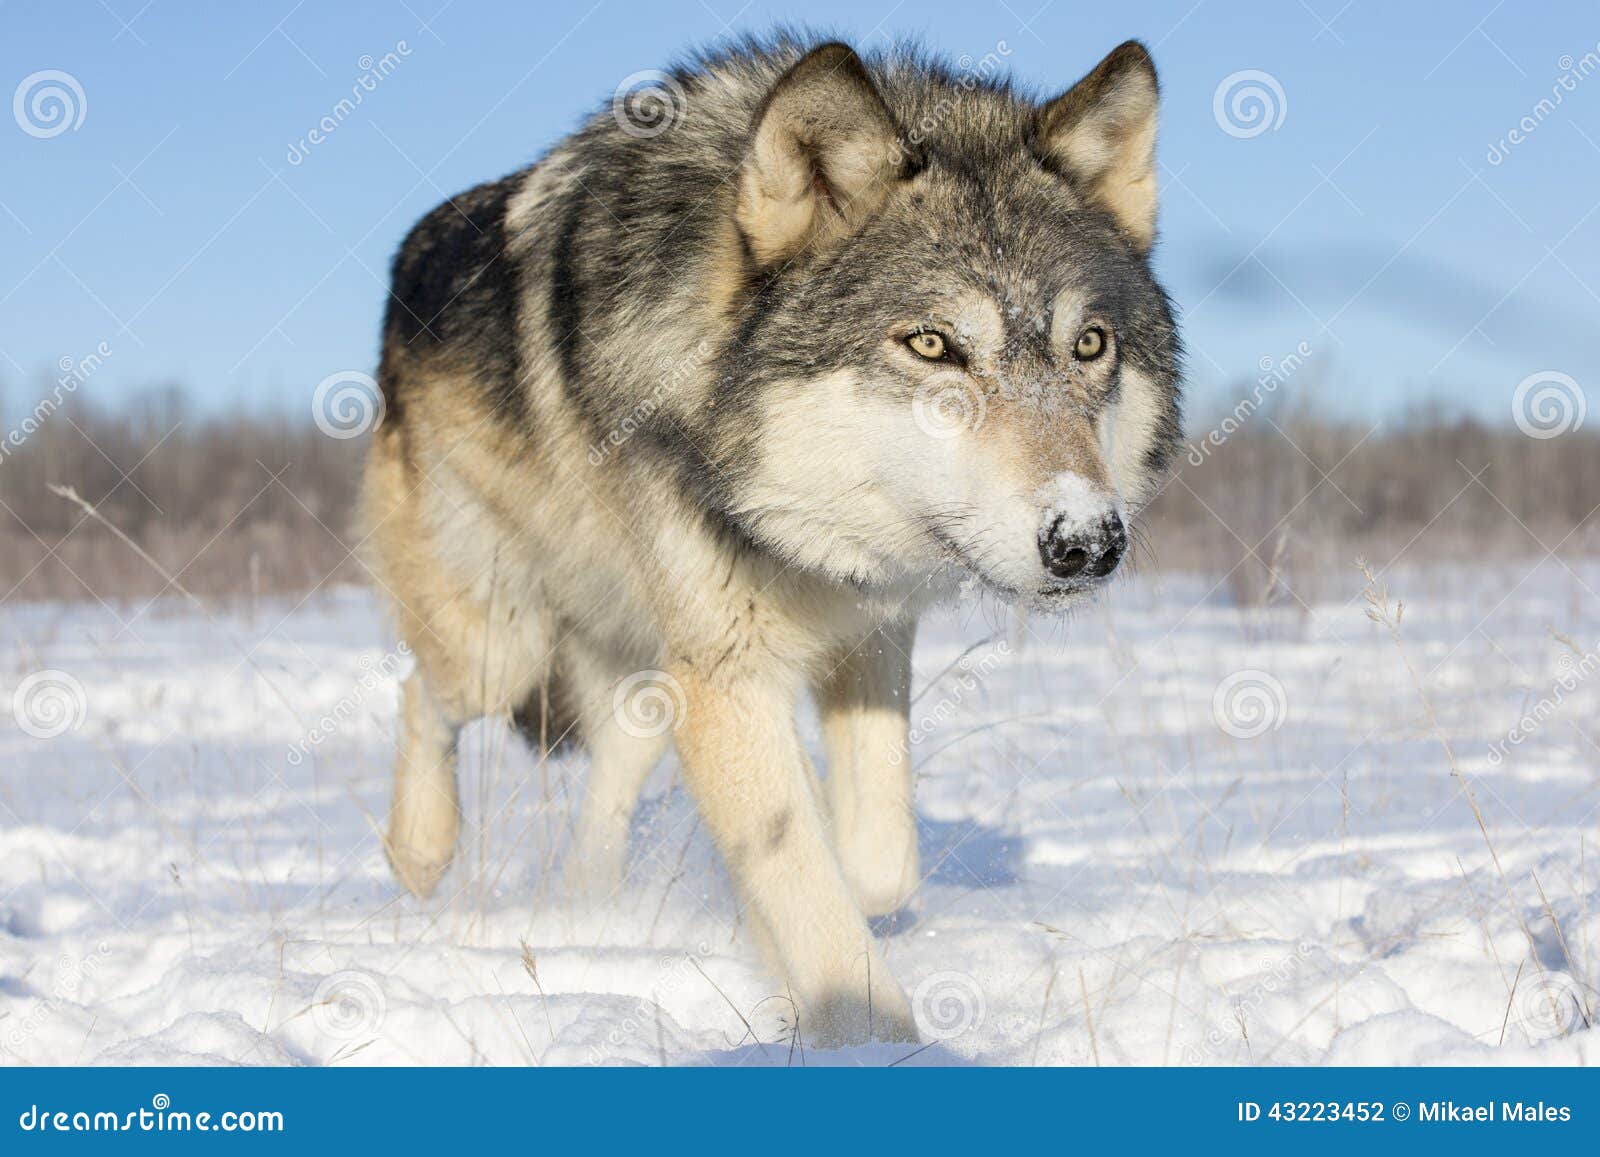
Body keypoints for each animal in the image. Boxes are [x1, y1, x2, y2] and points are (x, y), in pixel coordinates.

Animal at [368, 36, 1184, 1049]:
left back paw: (592, 916)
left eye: (1091, 346)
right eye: (932, 345)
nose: (1087, 540)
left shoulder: (871, 631)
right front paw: (874, 1044)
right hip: (503, 642)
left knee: (608, 777)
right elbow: (819, 908)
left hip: (642, 675)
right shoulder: (730, 674)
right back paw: (420, 853)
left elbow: (875, 860)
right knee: (421, 695)